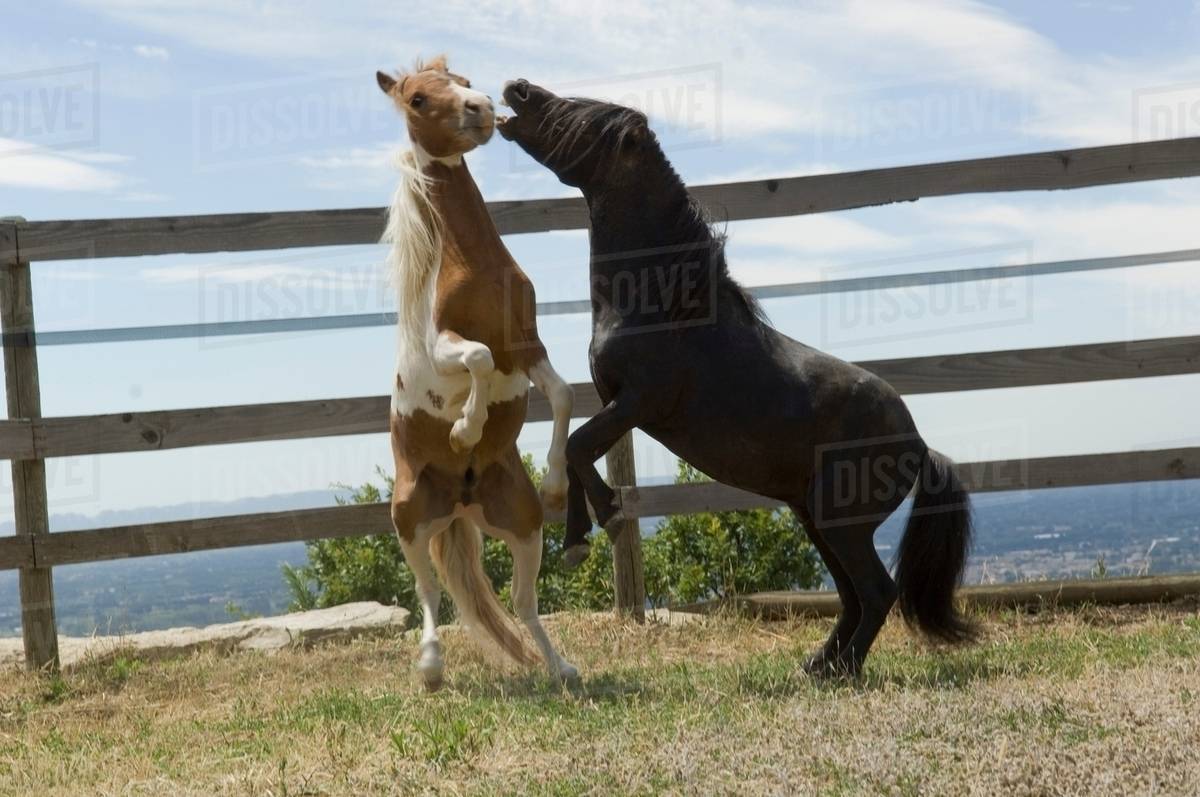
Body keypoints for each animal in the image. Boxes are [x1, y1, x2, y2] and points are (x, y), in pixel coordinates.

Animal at [375, 59, 577, 689]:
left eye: (461, 79)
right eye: (418, 99)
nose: (483, 109)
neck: (471, 265)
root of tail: (460, 506)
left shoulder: (528, 345)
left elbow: (562, 394)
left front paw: (558, 481)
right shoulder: (443, 347)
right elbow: (478, 360)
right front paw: (465, 429)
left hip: (523, 524)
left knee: (522, 603)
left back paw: (562, 667)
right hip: (411, 521)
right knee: (429, 593)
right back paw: (431, 668)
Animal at [497, 79, 977, 677]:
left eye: (584, 118)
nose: (518, 90)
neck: (662, 305)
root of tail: (919, 443)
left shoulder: (638, 402)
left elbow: (578, 446)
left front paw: (604, 518)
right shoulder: (617, 404)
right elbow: (573, 451)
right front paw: (577, 539)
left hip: (840, 525)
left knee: (876, 592)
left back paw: (841, 672)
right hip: (817, 520)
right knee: (852, 595)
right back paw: (817, 666)